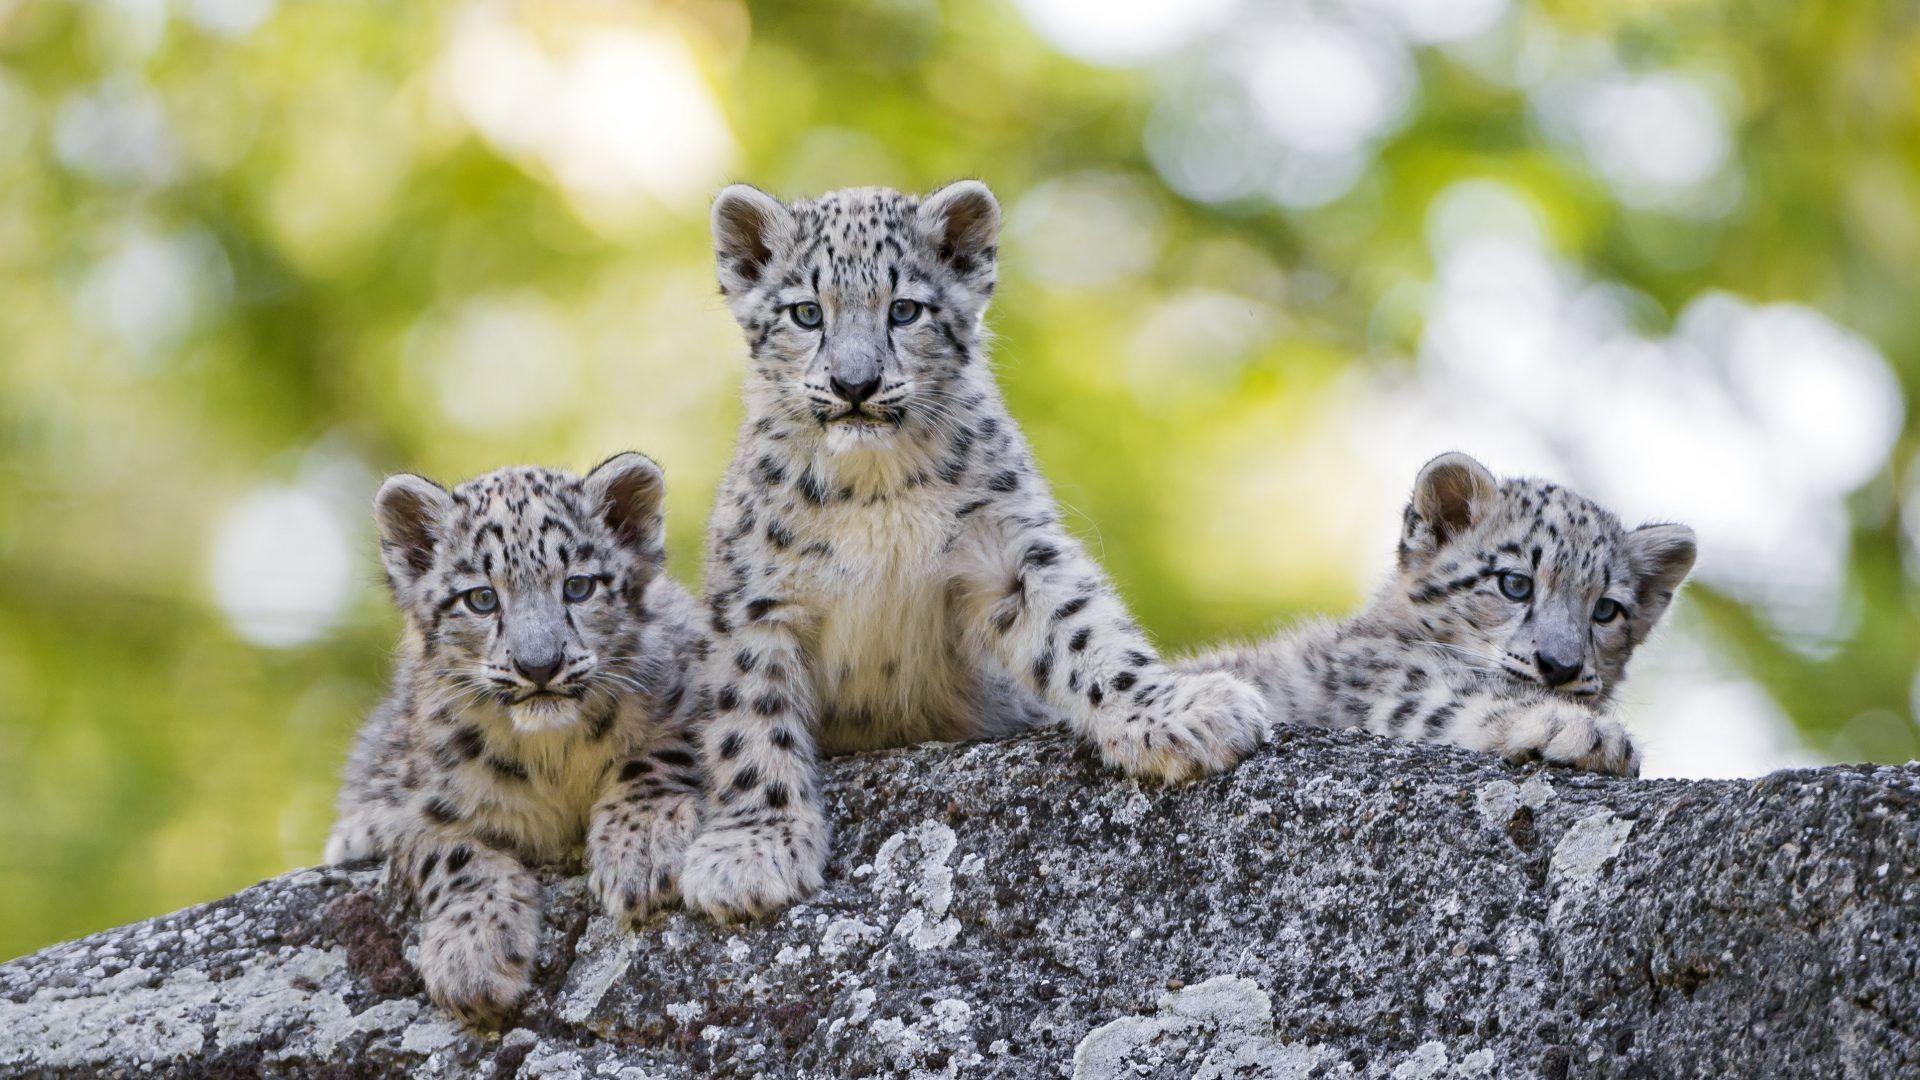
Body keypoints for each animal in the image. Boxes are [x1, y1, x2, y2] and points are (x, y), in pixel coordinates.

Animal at [323, 453, 710, 1025]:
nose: (539, 665)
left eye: (578, 587)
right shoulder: (411, 802)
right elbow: (447, 850)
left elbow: (660, 750)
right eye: (482, 598)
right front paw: (472, 958)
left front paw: (642, 849)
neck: (553, 756)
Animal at [676, 180, 1268, 920]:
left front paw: (1179, 712)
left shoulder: (1010, 550)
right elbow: (751, 717)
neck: (874, 487)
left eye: (904, 309)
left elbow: (1085, 631)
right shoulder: (757, 599)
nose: (854, 385)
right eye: (806, 313)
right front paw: (751, 853)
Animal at [1183, 452, 1697, 777]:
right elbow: (1456, 702)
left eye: (1606, 609)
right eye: (1515, 583)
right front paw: (1589, 733)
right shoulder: (1388, 688)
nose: (1560, 666)